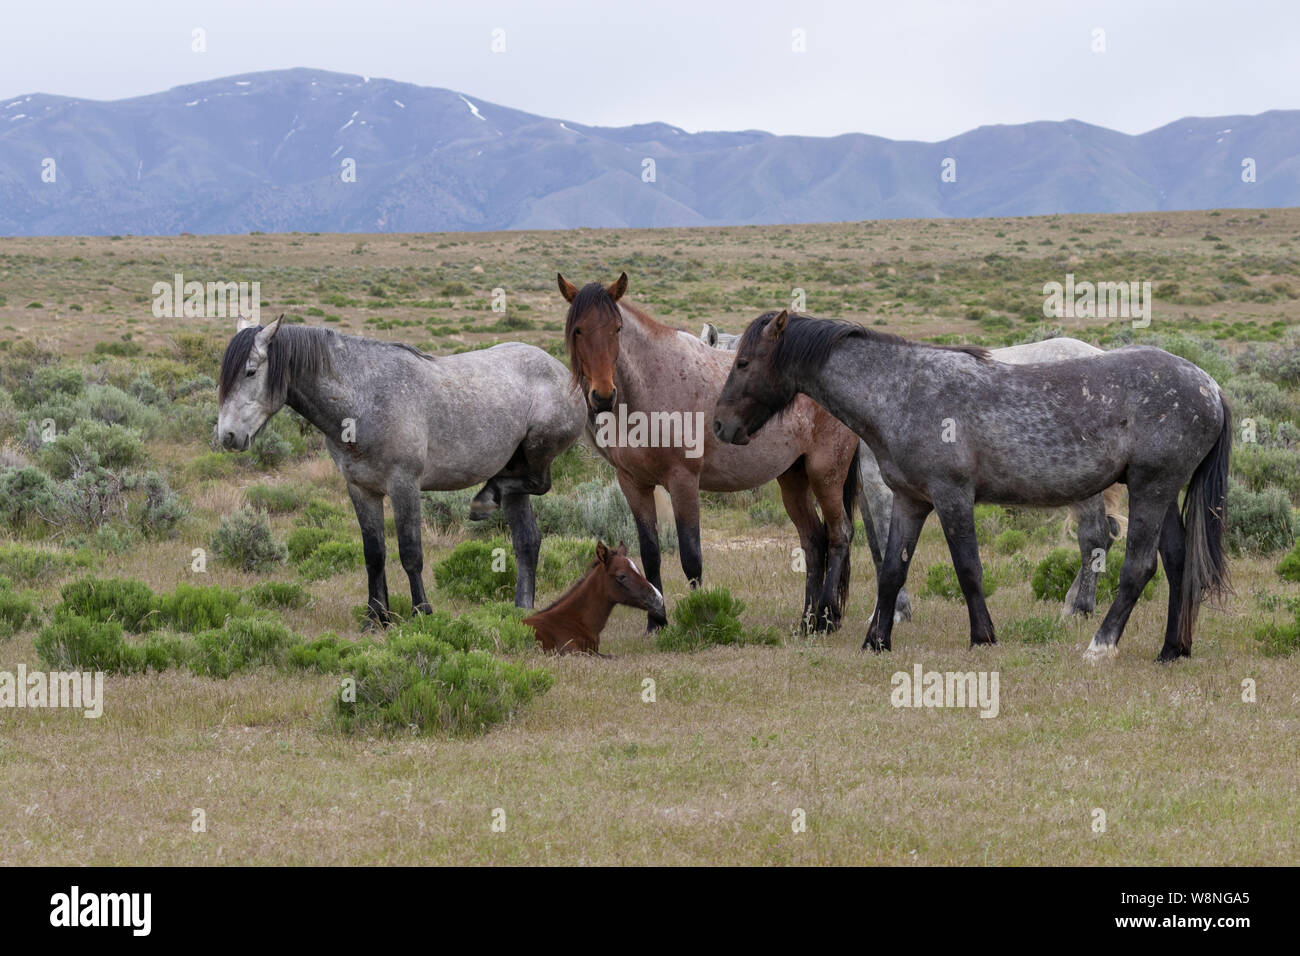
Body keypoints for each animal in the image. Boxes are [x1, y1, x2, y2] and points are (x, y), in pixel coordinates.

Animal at [216, 317, 586, 625]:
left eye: (250, 371)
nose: (227, 436)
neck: (364, 402)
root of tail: (560, 369)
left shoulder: (403, 486)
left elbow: (410, 553)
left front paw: (421, 612)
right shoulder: (361, 490)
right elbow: (374, 555)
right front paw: (376, 618)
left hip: (537, 450)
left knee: (537, 483)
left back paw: (485, 498)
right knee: (527, 540)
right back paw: (521, 609)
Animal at [558, 273, 861, 633]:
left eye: (616, 328)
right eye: (578, 330)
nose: (603, 395)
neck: (650, 383)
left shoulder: (683, 481)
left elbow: (691, 557)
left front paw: (701, 616)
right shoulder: (633, 483)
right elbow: (650, 554)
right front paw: (656, 622)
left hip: (825, 473)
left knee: (839, 535)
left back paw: (826, 619)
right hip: (793, 477)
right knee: (814, 541)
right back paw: (805, 622)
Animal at [700, 326, 1125, 621]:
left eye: (741, 365)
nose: (721, 424)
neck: (879, 391)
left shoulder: (880, 487)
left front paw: (893, 611)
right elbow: (877, 546)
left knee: (1093, 537)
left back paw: (1077, 607)